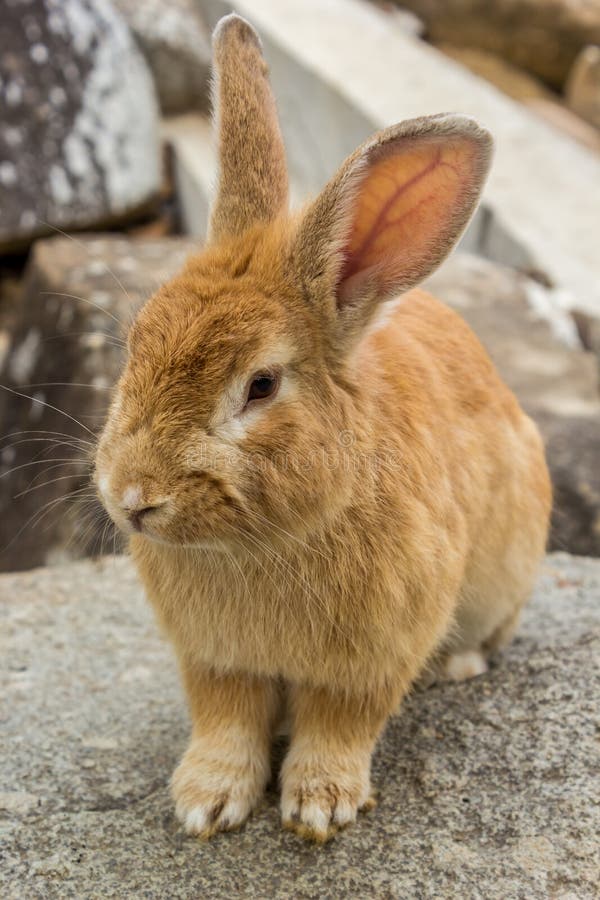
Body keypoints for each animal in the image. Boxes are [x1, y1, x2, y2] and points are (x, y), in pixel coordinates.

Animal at [94, 14, 551, 843]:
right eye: (134, 344)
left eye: (261, 386)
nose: (132, 498)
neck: (260, 543)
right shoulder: (216, 662)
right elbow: (226, 721)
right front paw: (205, 804)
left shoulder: (372, 658)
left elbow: (341, 723)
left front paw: (318, 807)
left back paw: (459, 665)